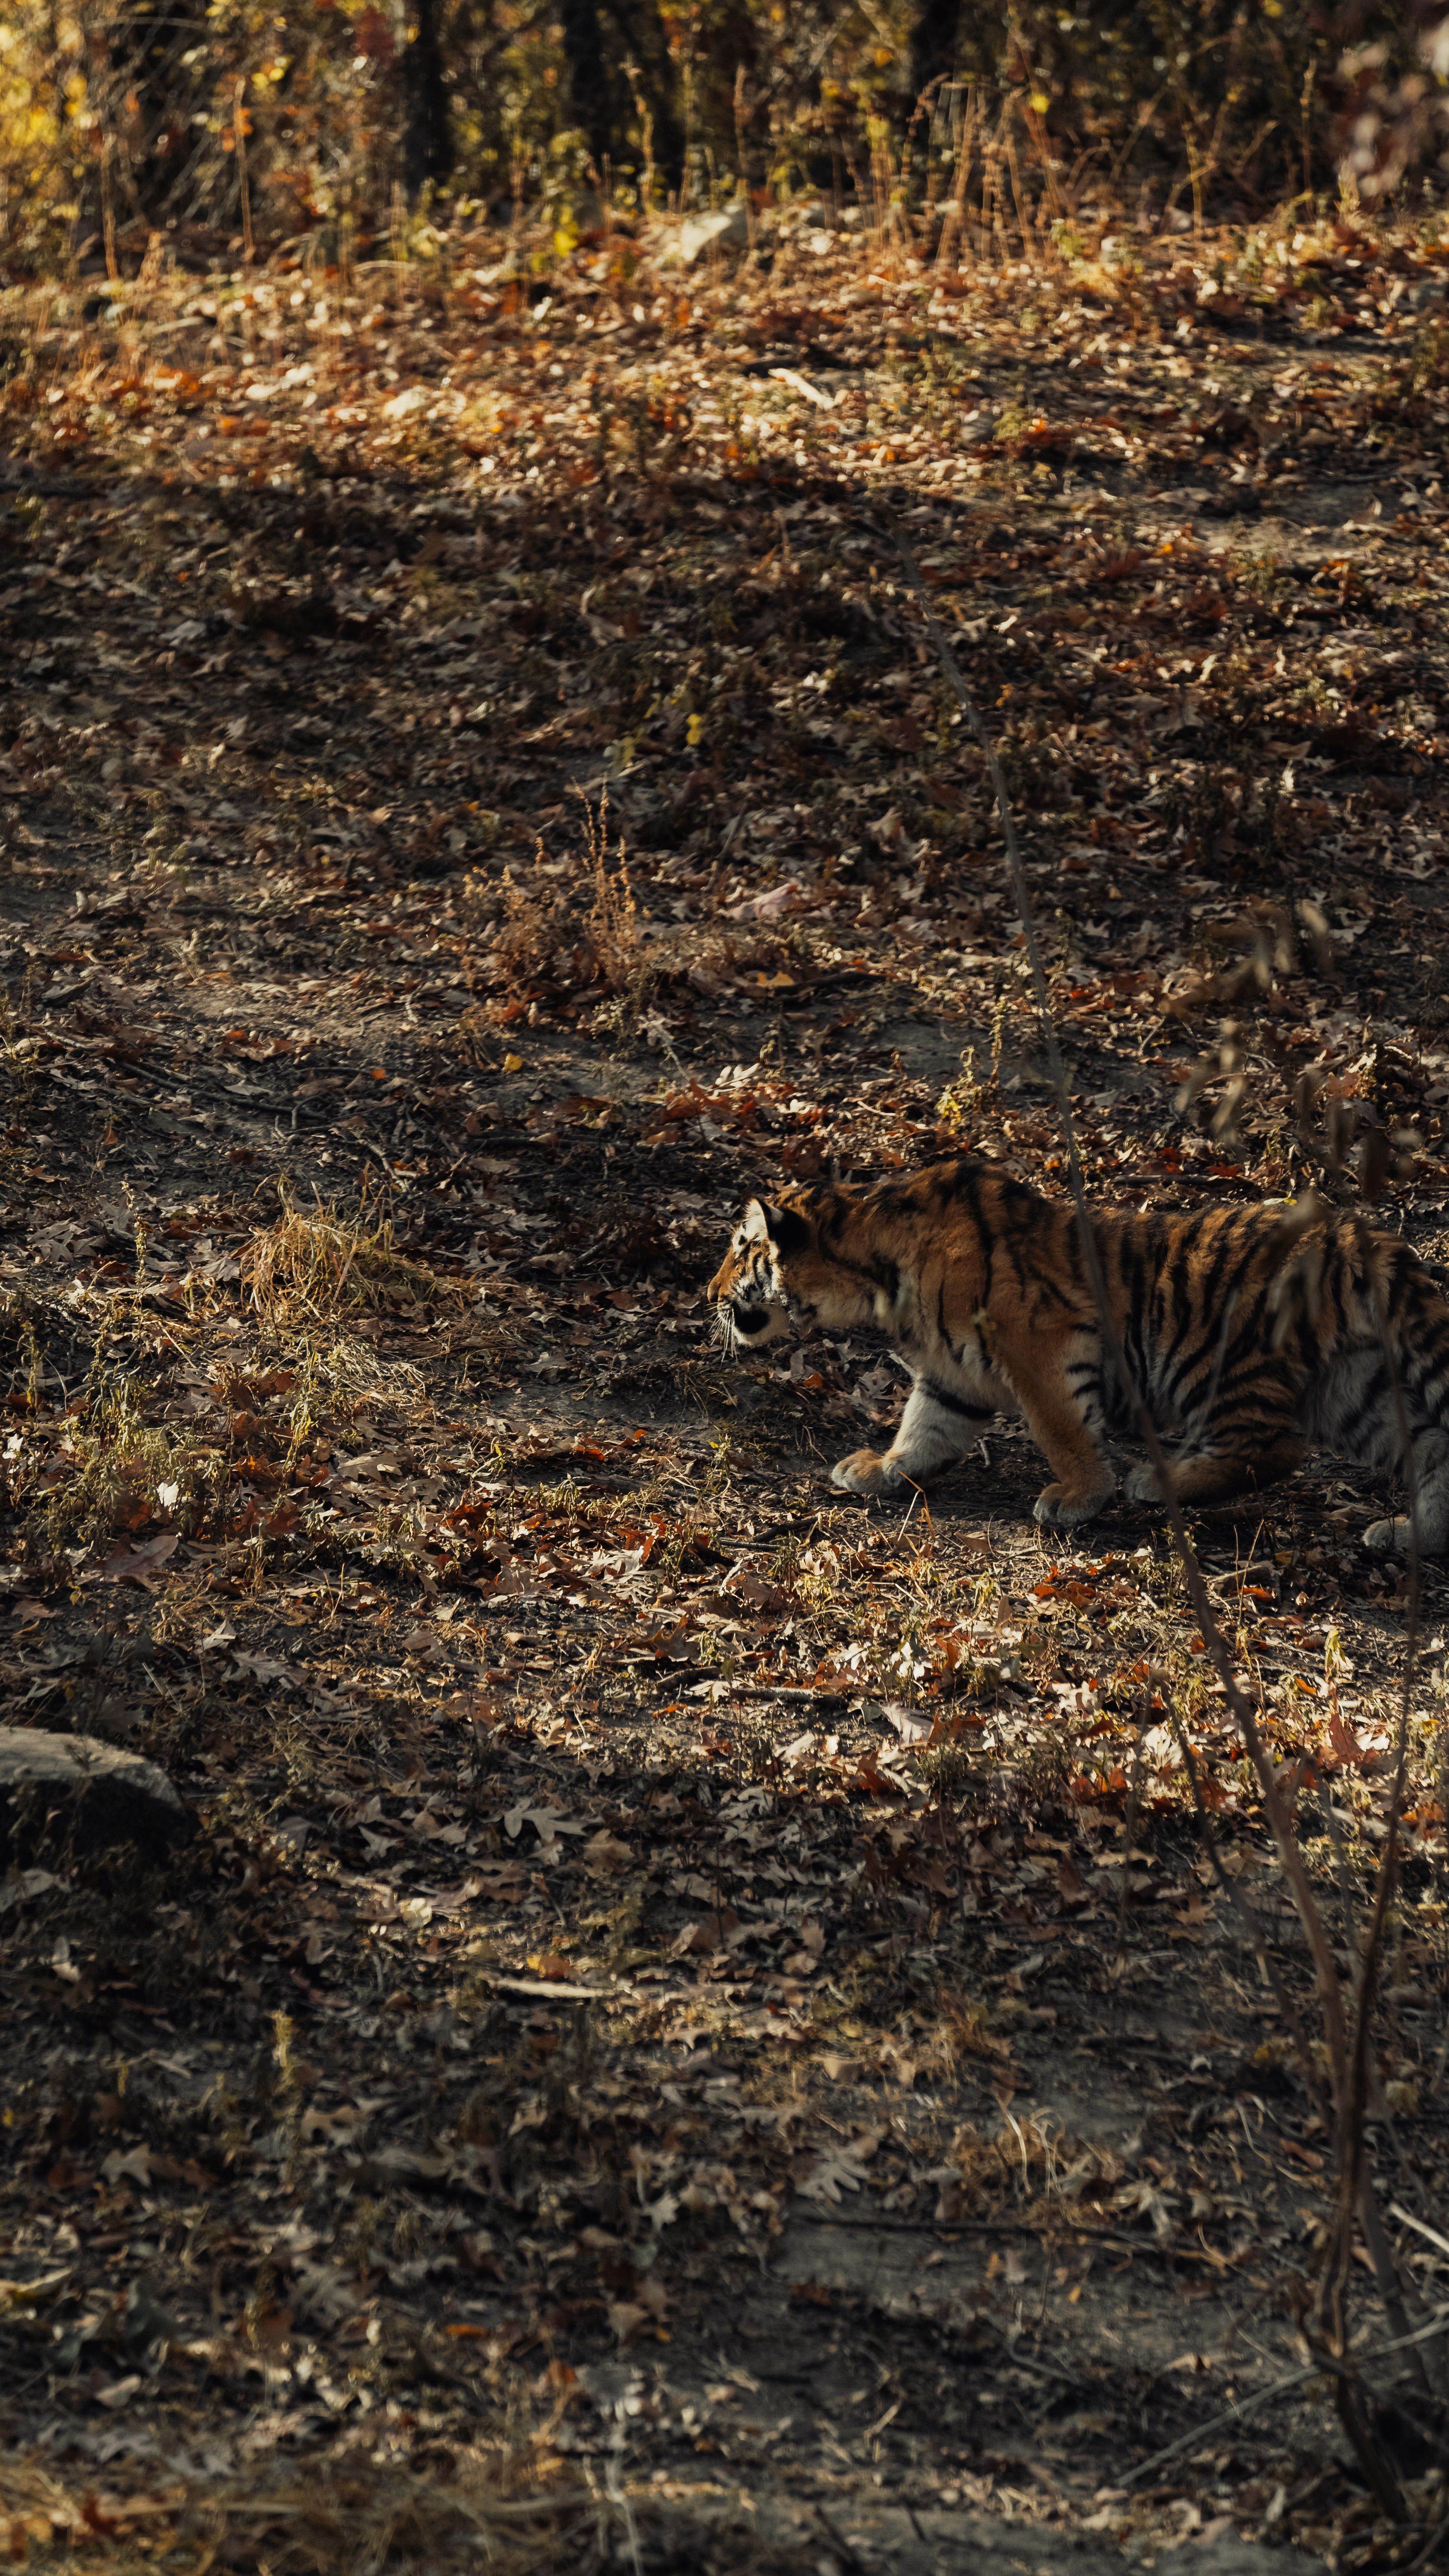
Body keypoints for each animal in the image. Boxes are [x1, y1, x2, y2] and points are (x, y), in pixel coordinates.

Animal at [706, 1157, 1449, 1554]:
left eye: (740, 1250)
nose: (708, 1293)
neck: (872, 1281)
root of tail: (1358, 1238)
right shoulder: (951, 1376)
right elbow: (924, 1428)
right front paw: (882, 1469)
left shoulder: (1037, 1343)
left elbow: (1062, 1430)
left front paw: (1080, 1498)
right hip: (1360, 1390)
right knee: (1431, 1453)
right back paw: (1411, 1535)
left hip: (1219, 1359)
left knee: (1275, 1446)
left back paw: (1159, 1480)